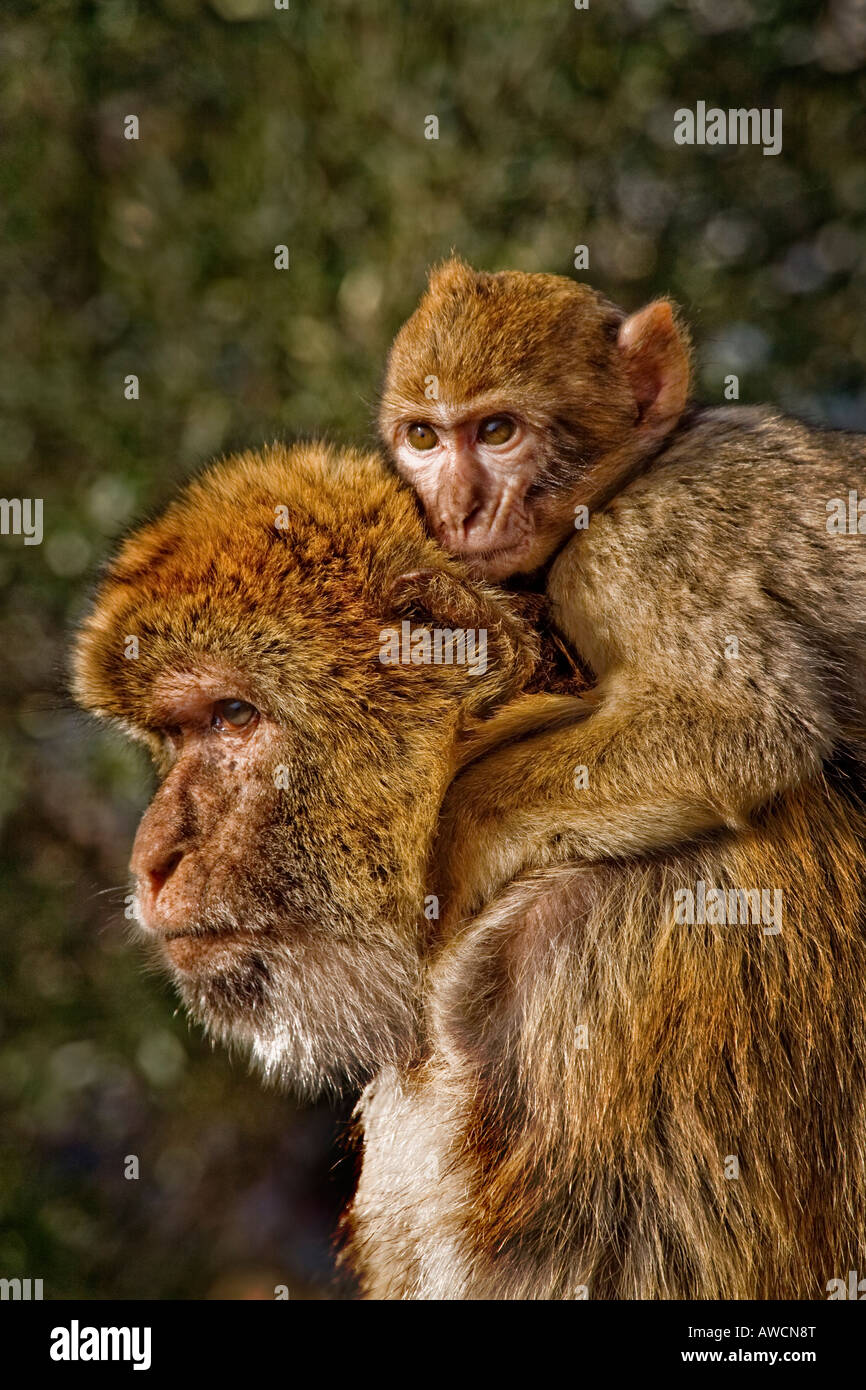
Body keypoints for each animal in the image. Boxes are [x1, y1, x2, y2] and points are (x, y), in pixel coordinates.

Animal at [379, 257, 866, 925]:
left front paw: (455, 851)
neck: (629, 478)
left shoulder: (630, 555)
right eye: (424, 437)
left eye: (497, 430)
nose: (456, 511)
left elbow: (742, 729)